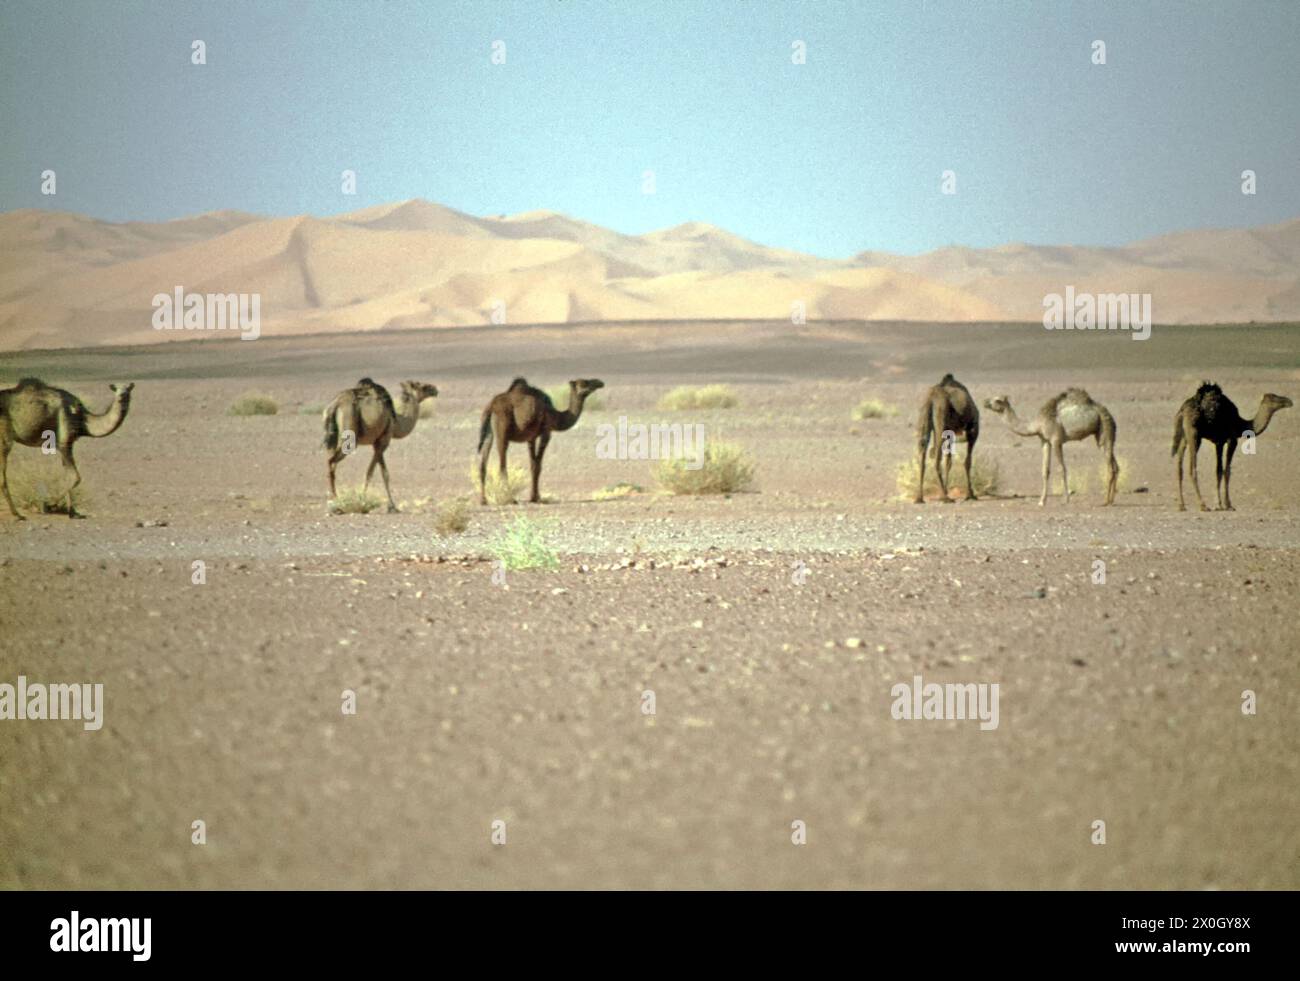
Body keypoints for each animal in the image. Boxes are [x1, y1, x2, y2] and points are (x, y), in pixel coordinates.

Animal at [0, 378, 134, 519]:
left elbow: (67, 476)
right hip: (4, 438)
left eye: (128, 390)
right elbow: (76, 477)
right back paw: (17, 514)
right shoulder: (65, 442)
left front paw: (73, 512)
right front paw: (48, 505)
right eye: (116, 390)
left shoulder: (65, 445)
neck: (83, 420)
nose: (122, 397)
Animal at [322, 377, 438, 512]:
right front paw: (366, 500)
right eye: (421, 386)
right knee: (331, 461)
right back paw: (336, 499)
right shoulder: (384, 440)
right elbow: (374, 472)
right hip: (349, 436)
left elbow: (382, 473)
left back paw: (335, 499)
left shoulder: (376, 443)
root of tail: (335, 405)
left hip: (332, 439)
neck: (396, 421)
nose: (434, 389)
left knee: (331, 462)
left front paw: (391, 505)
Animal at [913, 373, 980, 503]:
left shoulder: (950, 434)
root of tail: (931, 398)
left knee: (922, 455)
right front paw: (970, 495)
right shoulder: (973, 430)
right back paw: (945, 496)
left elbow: (949, 461)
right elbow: (967, 461)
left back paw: (920, 497)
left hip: (924, 418)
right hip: (941, 418)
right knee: (937, 458)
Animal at [982, 389, 1119, 506]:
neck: (1037, 424)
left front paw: (1066, 499)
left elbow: (1062, 469)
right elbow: (1045, 470)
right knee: (1115, 466)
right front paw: (1042, 501)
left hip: (1104, 428)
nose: (985, 402)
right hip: (1103, 433)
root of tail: (1107, 413)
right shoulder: (1045, 441)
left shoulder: (1056, 440)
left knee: (1110, 466)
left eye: (998, 400)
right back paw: (1111, 500)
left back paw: (1105, 501)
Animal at [1172, 382, 1292, 511]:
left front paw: (1219, 504)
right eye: (1274, 397)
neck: (1241, 424)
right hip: (1194, 434)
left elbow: (1218, 470)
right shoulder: (1232, 439)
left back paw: (1182, 505)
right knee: (1192, 468)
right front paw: (1228, 504)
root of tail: (1183, 410)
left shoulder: (1219, 442)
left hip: (1184, 437)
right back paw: (1203, 505)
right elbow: (1227, 471)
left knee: (1179, 466)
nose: (1289, 401)